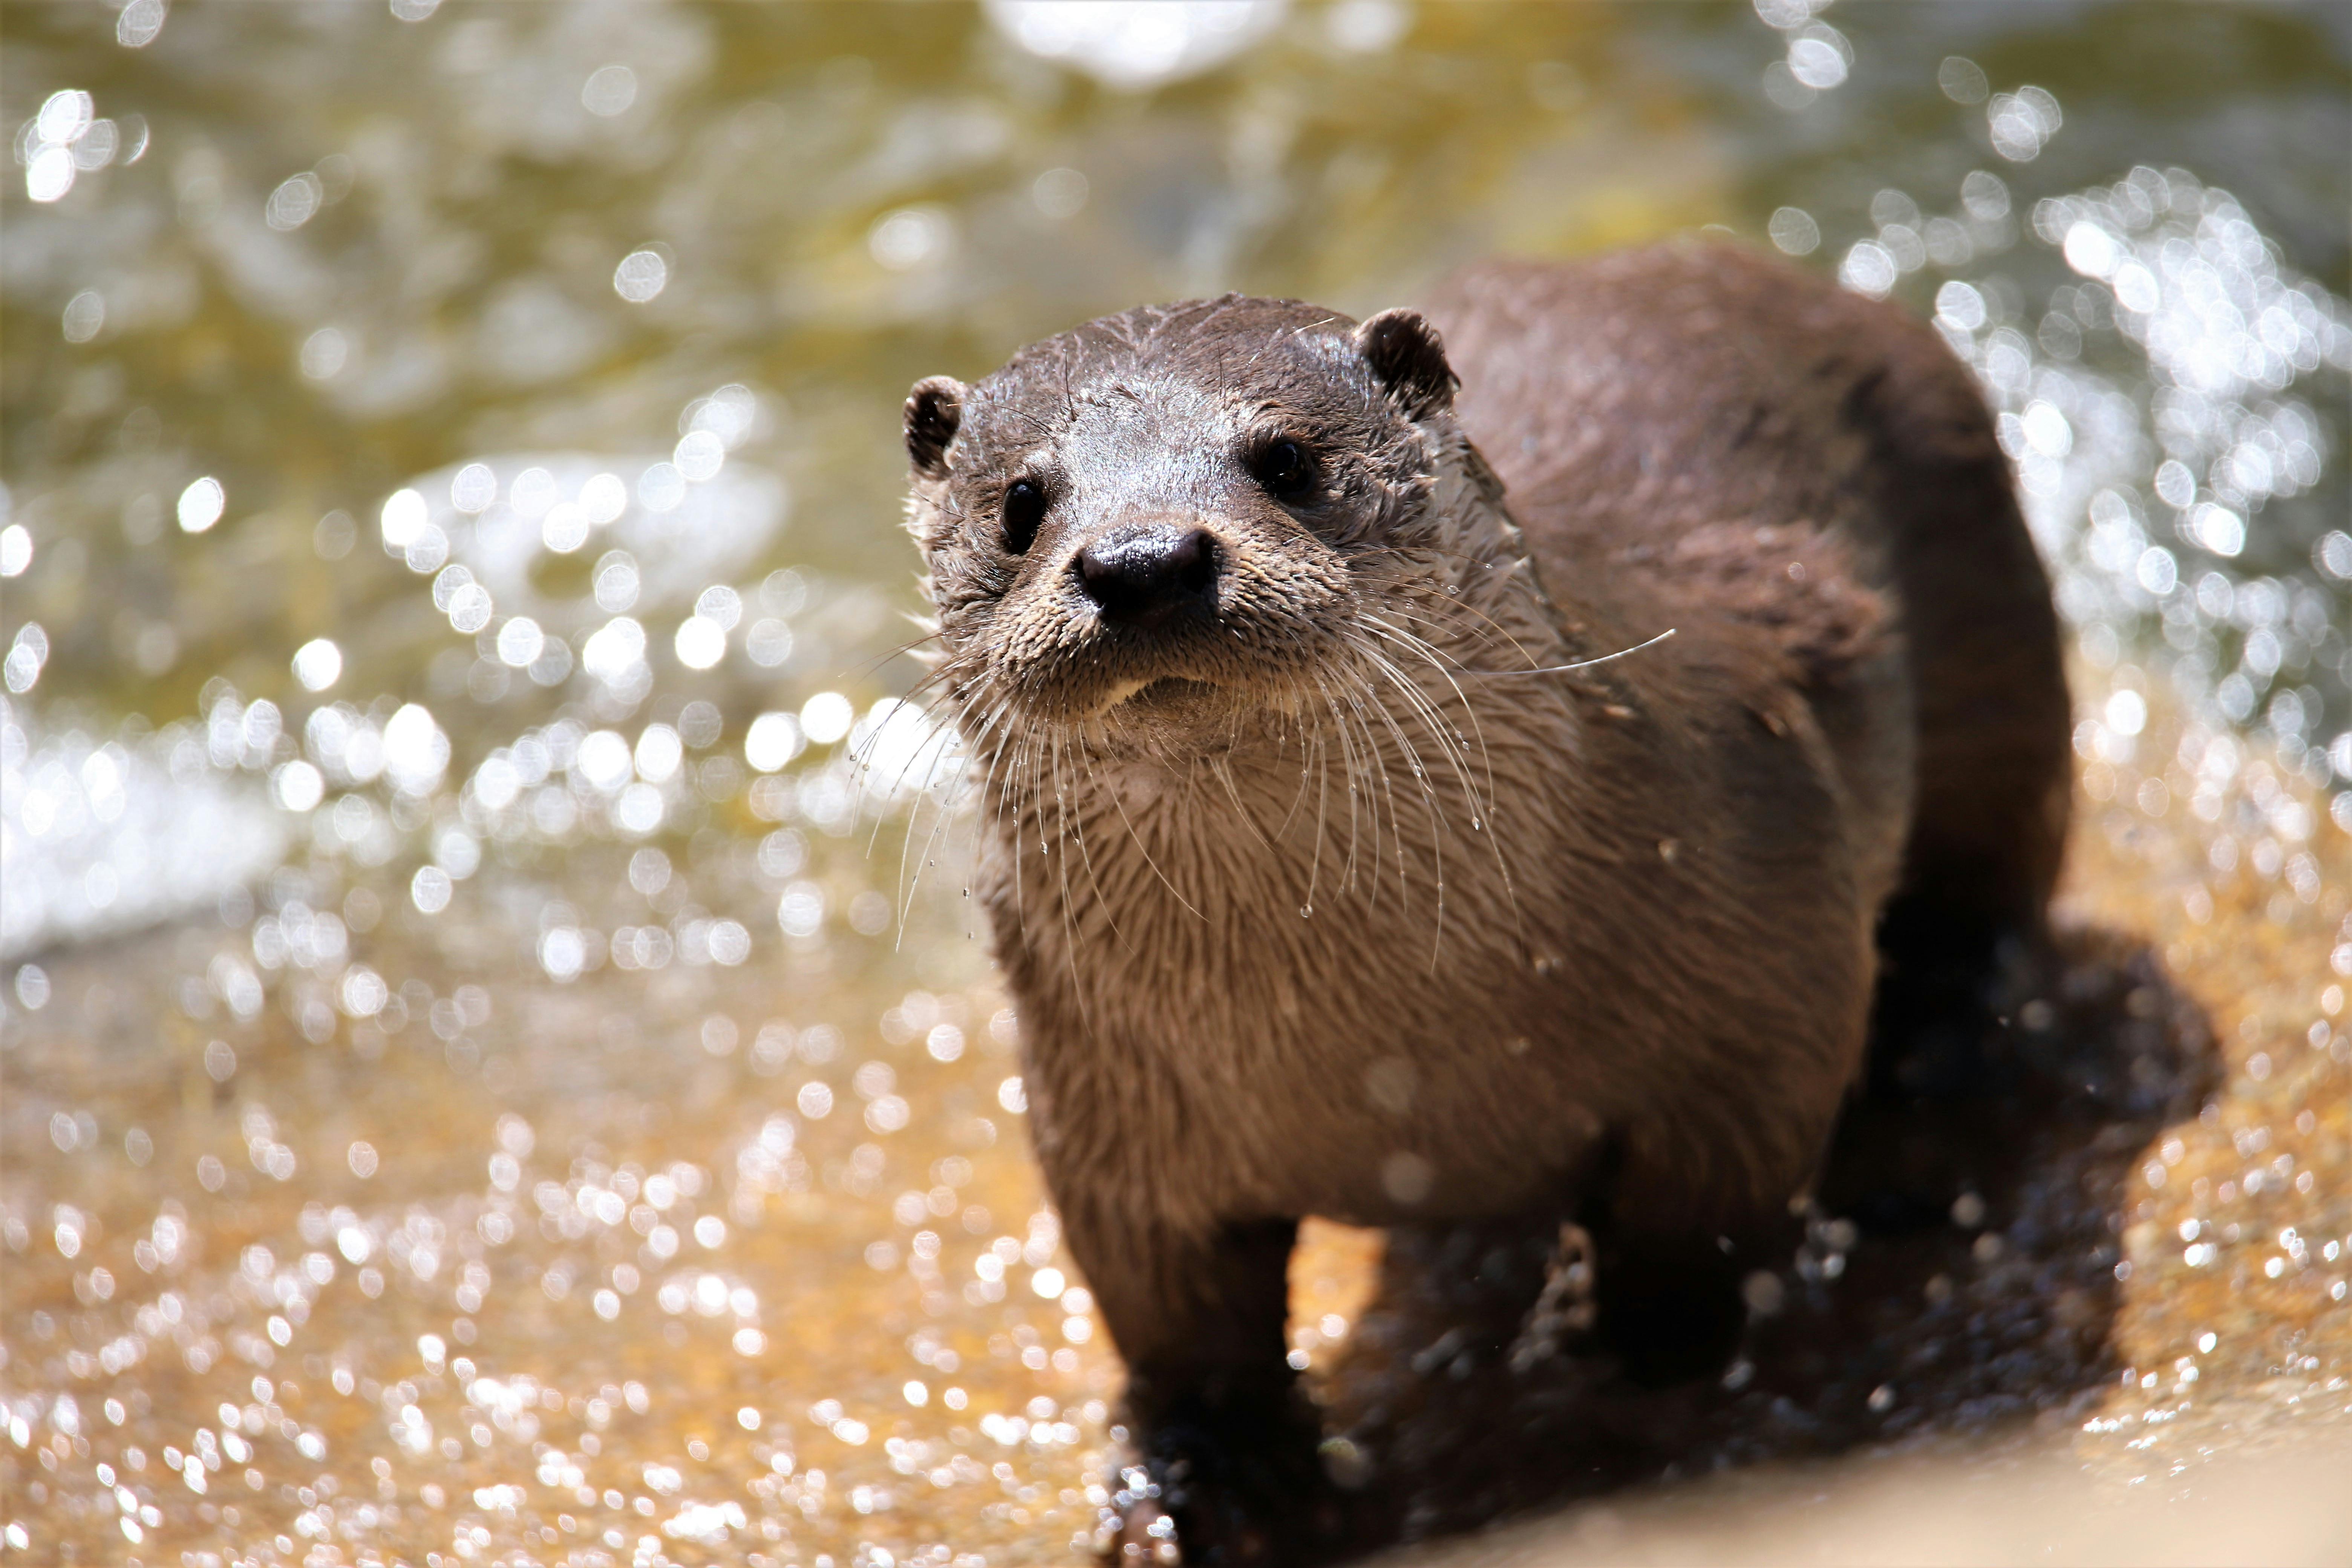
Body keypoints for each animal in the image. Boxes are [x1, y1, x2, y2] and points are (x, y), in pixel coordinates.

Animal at [897, 242, 2070, 1562]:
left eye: (1287, 458)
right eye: (1019, 506)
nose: (1141, 561)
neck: (1388, 1054)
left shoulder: (1773, 983)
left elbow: (1702, 1226)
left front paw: (1605, 1344)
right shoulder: (1105, 1108)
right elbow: (1176, 1321)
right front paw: (1205, 1477)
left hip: (1987, 602)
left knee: (1994, 891)